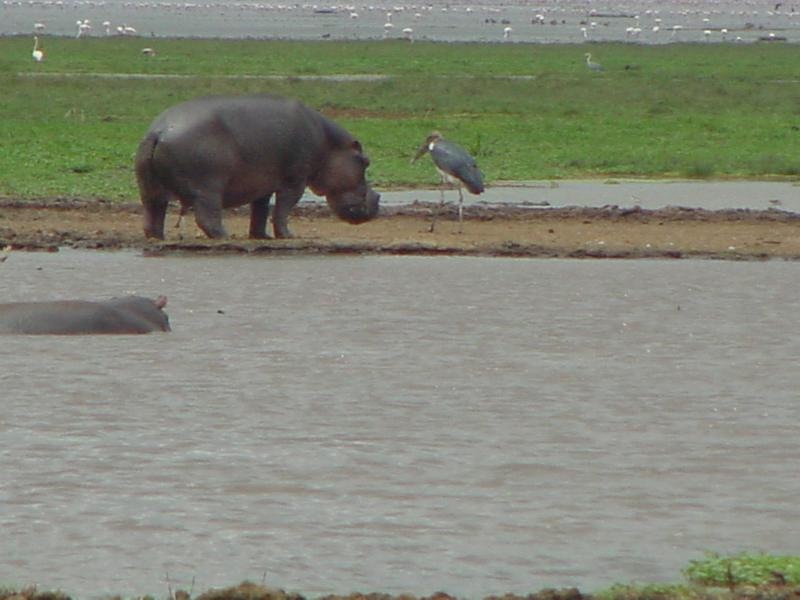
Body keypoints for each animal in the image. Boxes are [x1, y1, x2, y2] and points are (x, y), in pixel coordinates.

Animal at [135, 94, 381, 240]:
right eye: (365, 161)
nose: (377, 200)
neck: (330, 146)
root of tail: (158, 132)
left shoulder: (264, 184)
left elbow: (261, 210)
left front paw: (261, 236)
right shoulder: (295, 180)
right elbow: (283, 209)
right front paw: (287, 236)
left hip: (150, 190)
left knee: (153, 214)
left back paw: (158, 237)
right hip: (207, 188)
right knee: (207, 217)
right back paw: (225, 236)